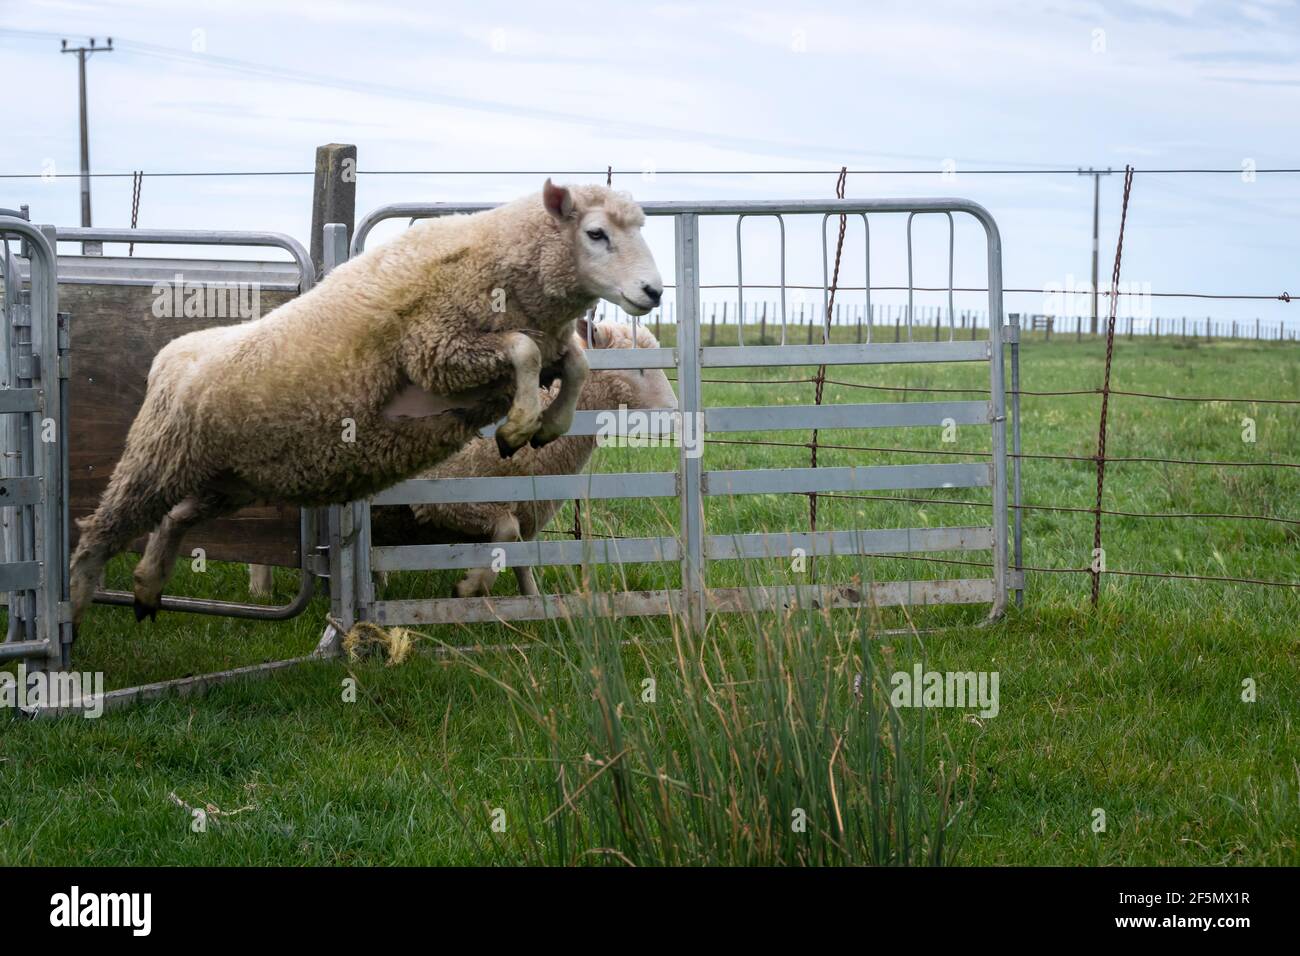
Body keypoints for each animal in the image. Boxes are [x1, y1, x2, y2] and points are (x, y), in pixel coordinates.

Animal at [365, 318, 676, 599]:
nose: (674, 412)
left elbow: (521, 561)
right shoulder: (447, 499)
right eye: (639, 368)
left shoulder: (527, 511)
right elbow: (506, 531)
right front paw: (471, 586)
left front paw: (532, 601)